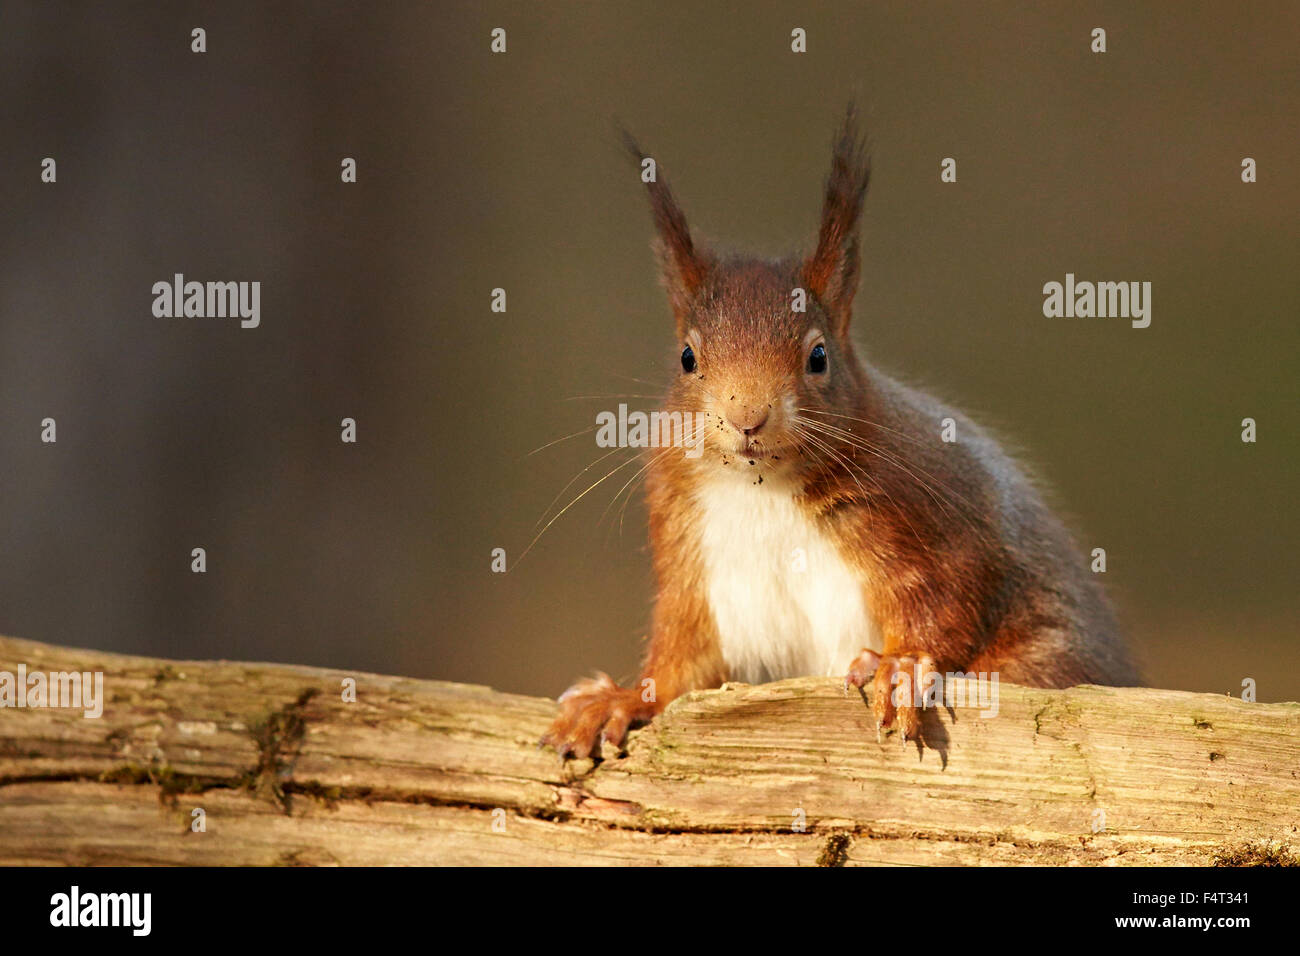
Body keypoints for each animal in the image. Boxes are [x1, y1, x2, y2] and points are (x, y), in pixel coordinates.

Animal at [541, 107, 1140, 759]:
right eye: (686, 358)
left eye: (819, 356)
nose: (747, 417)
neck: (764, 489)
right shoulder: (695, 564)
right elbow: (683, 661)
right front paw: (619, 700)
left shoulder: (936, 520)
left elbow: (950, 603)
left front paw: (900, 667)